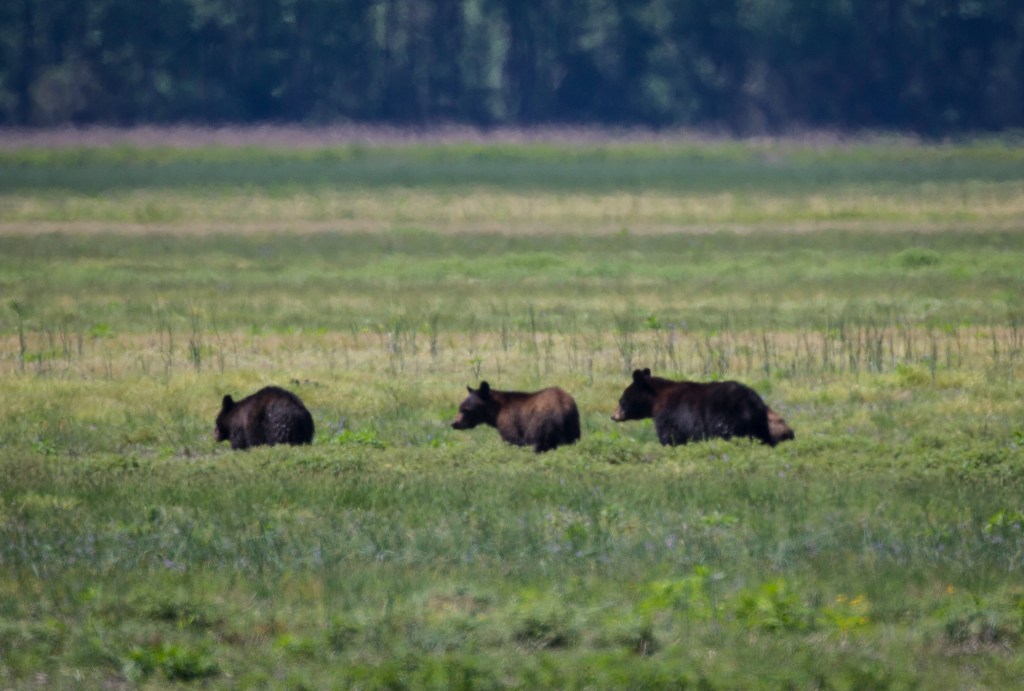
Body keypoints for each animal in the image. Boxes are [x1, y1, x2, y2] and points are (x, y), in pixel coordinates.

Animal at [451, 381, 581, 453]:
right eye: (460, 407)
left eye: (466, 409)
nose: (453, 423)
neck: (496, 412)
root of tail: (561, 407)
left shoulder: (509, 422)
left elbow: (512, 440)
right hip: (573, 425)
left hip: (540, 424)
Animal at [611, 368, 792, 446]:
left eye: (621, 400)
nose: (613, 416)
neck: (656, 399)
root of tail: (754, 403)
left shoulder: (668, 415)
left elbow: (670, 437)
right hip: (761, 423)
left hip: (726, 419)